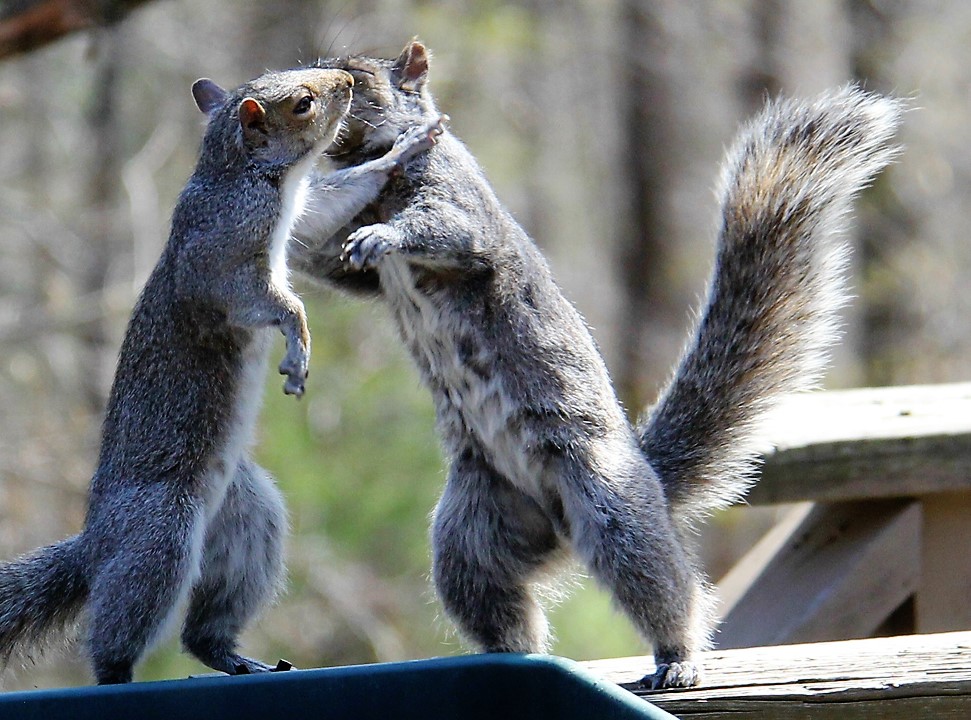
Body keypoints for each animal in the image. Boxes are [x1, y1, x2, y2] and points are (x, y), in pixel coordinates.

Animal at [0, 67, 442, 685]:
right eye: (303, 104)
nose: (346, 81)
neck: (246, 175)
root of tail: (95, 546)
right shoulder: (223, 257)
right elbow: (271, 303)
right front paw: (297, 350)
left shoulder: (302, 213)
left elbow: (333, 202)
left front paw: (403, 150)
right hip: (160, 531)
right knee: (119, 627)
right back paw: (117, 672)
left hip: (249, 518)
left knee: (202, 630)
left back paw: (238, 658)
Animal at [295, 41, 902, 689]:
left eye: (359, 76)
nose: (317, 97)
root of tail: (559, 530)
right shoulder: (358, 272)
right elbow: (328, 261)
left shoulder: (455, 202)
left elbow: (445, 230)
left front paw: (379, 233)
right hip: (477, 530)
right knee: (493, 596)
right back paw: (509, 655)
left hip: (607, 502)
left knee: (660, 583)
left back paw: (678, 657)